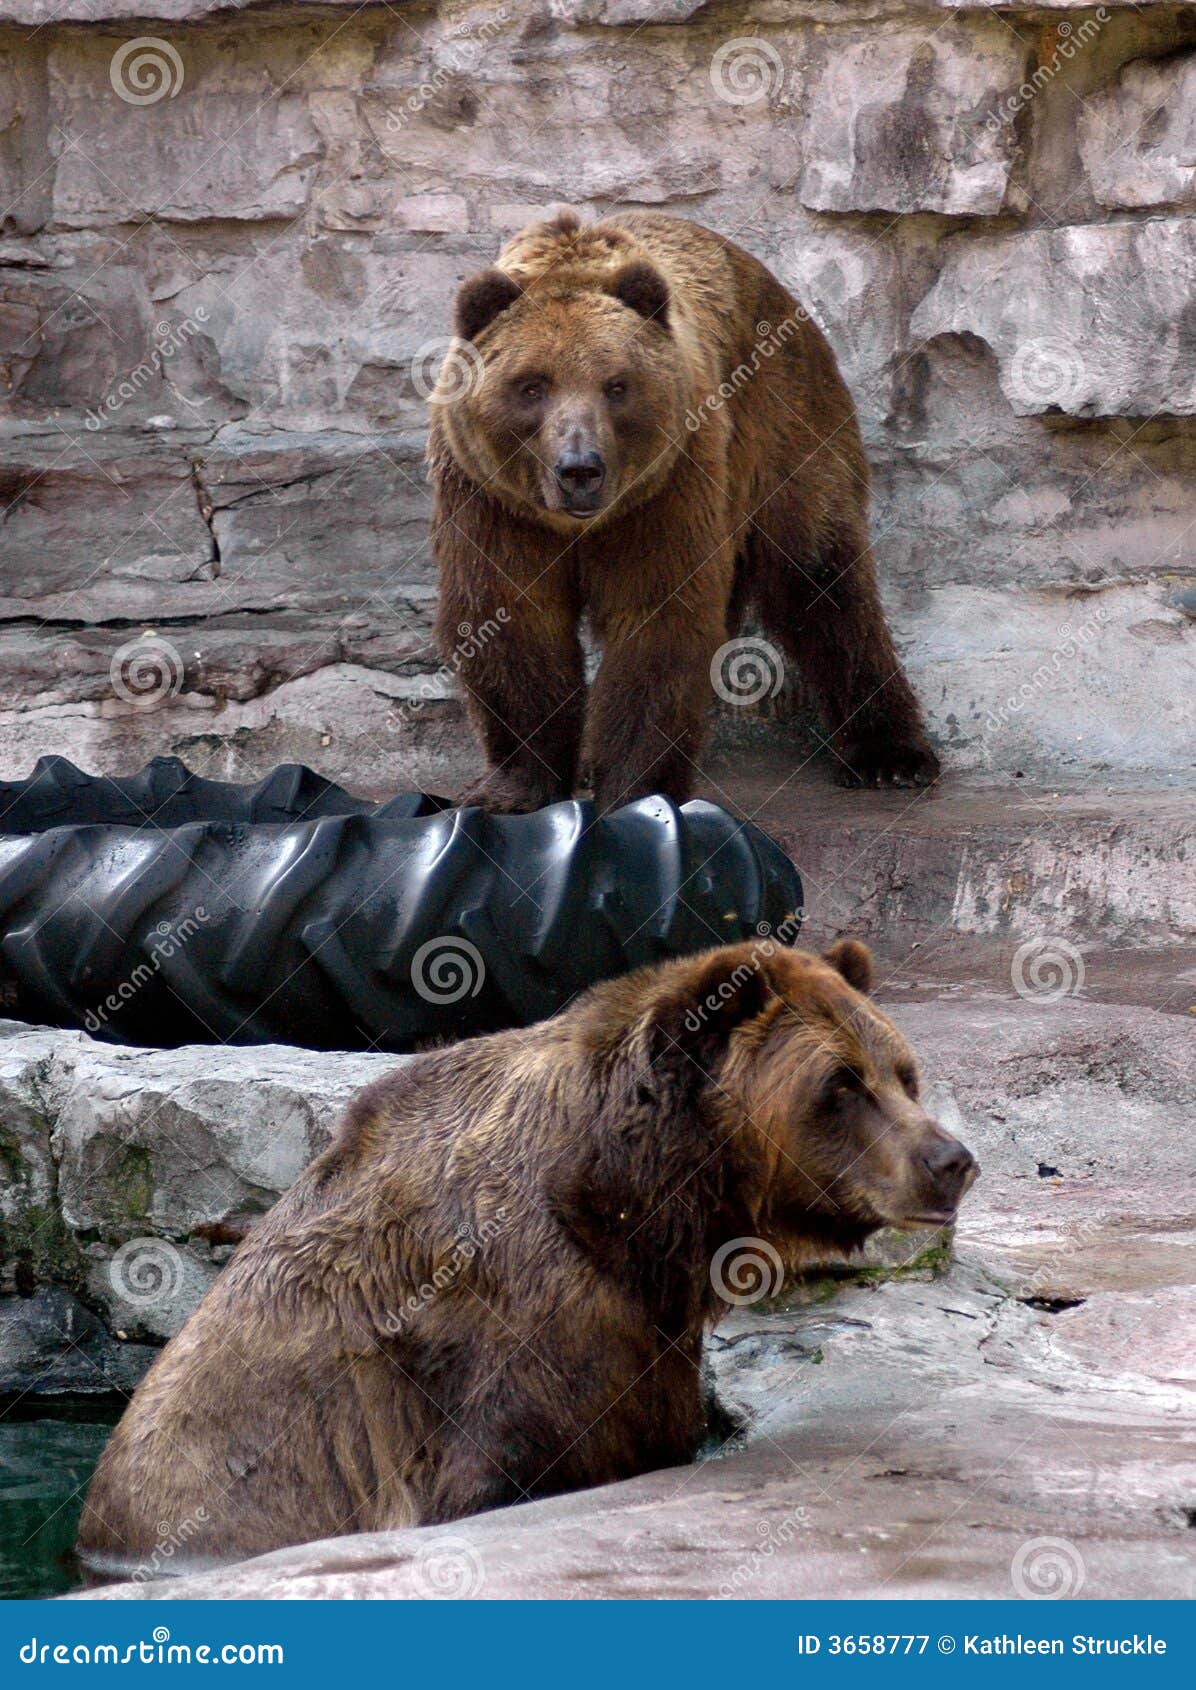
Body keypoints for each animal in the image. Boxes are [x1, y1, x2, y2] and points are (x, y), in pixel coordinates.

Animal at [77, 938, 976, 1570]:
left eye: (904, 1073)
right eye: (841, 1084)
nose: (950, 1160)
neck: (628, 1204)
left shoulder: (645, 1335)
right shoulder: (511, 1331)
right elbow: (509, 1459)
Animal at [428, 210, 940, 814]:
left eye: (616, 385)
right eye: (532, 385)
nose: (580, 468)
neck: (578, 526)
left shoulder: (666, 490)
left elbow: (658, 616)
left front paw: (635, 786)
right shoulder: (493, 501)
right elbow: (509, 617)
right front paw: (513, 786)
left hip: (784, 427)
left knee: (821, 576)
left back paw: (890, 755)